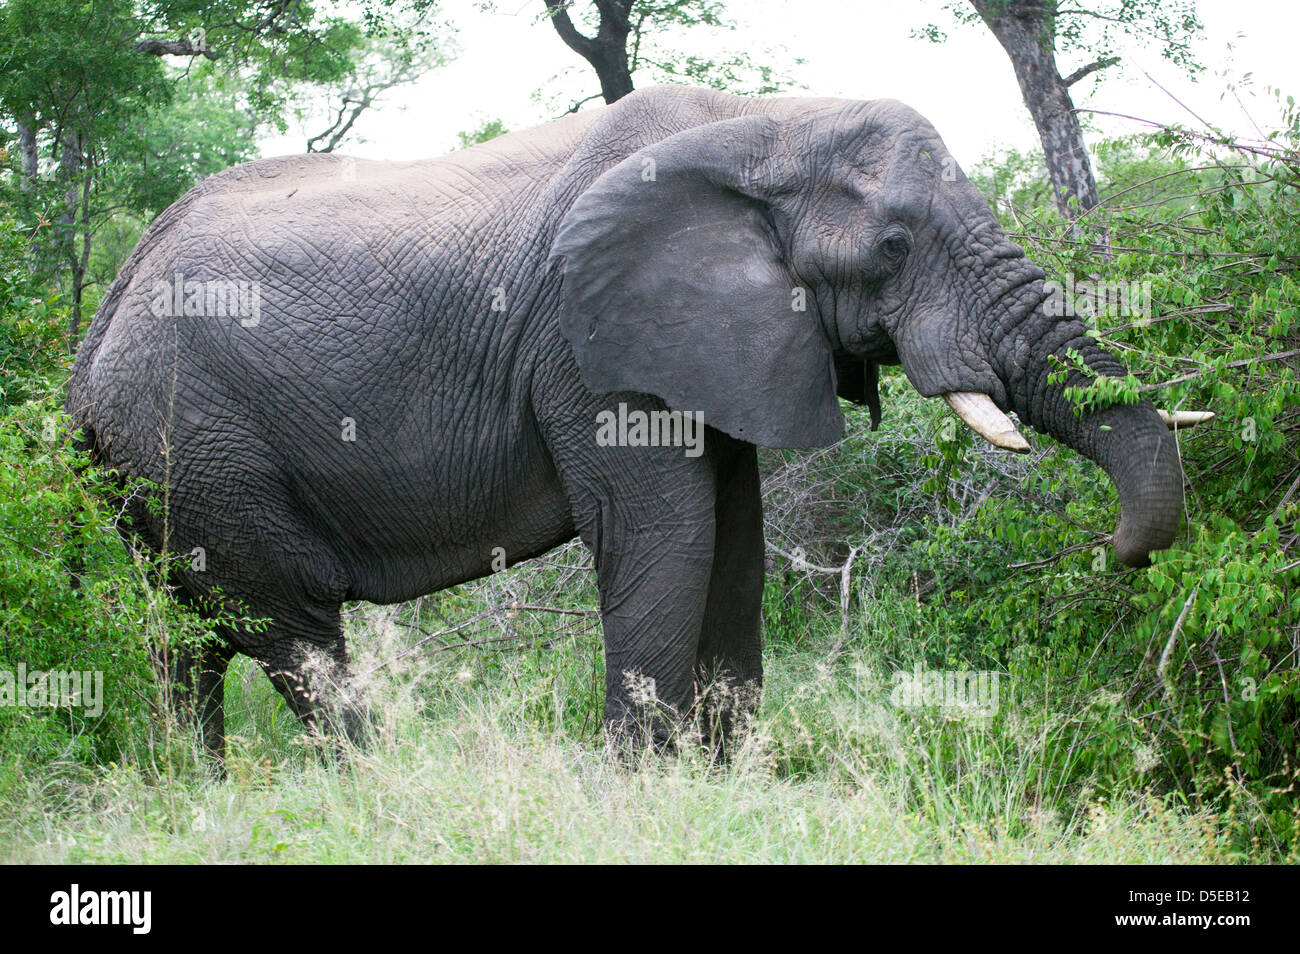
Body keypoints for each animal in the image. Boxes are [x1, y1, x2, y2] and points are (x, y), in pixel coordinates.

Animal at [66, 84, 1190, 758]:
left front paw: (726, 777)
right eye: (893, 248)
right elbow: (667, 536)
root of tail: (99, 322)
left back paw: (199, 794)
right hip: (196, 442)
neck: (762, 127)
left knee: (184, 634)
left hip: (157, 462)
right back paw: (370, 787)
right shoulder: (588, 345)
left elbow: (736, 547)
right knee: (289, 629)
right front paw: (641, 788)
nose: (1112, 553)